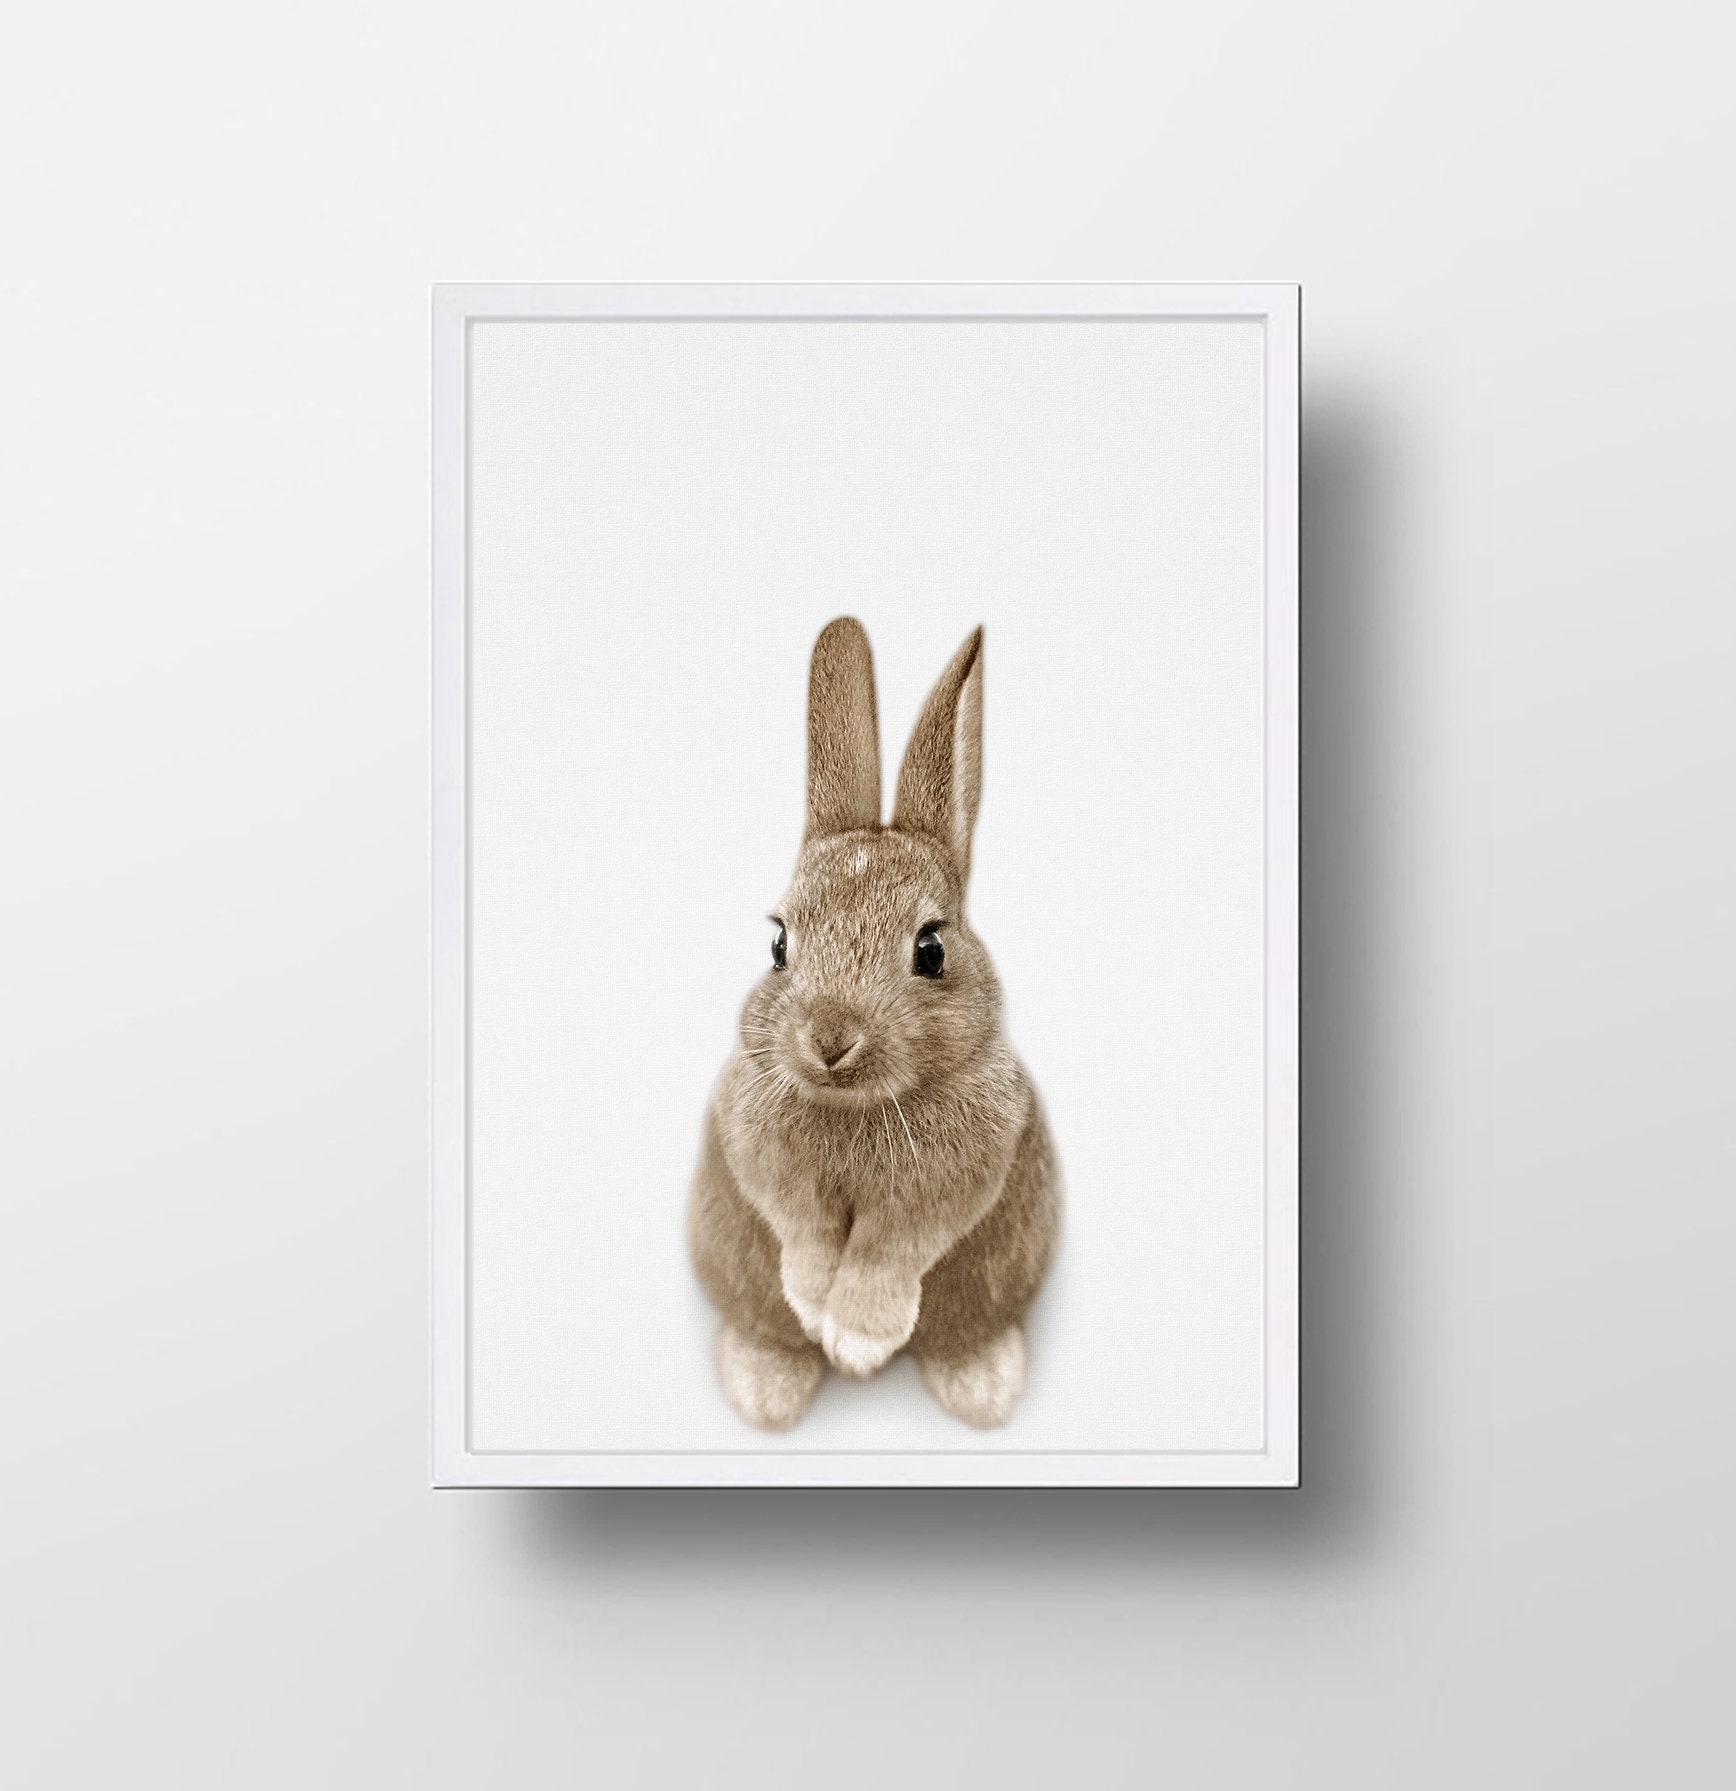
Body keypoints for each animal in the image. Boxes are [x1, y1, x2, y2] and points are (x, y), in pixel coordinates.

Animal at [688, 617, 1061, 1431]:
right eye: (779, 944)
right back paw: (765, 1392)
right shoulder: (766, 1164)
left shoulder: (947, 1190)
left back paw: (984, 1391)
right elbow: (803, 1233)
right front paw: (823, 1319)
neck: (856, 1102)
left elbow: (889, 1250)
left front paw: (858, 1338)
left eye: (931, 950)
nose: (829, 1041)